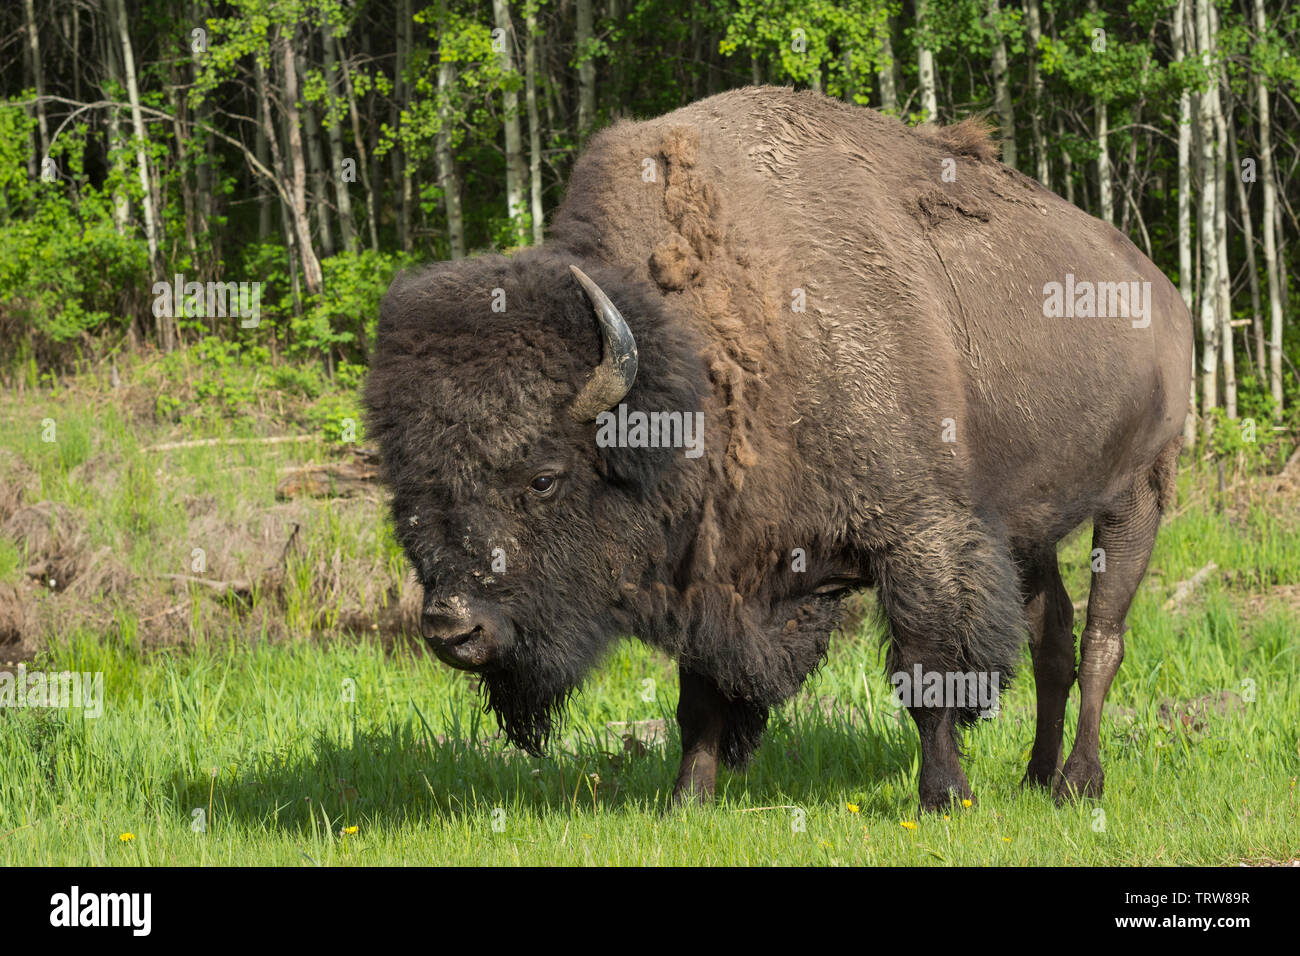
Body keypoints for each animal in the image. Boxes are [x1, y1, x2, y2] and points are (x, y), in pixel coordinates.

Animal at [364, 87, 1191, 810]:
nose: (453, 627)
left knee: (1102, 640)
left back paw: (1079, 782)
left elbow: (926, 669)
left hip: (1137, 496)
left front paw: (945, 796)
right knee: (1053, 640)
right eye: (409, 490)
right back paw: (1035, 777)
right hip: (1033, 528)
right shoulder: (714, 565)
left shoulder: (916, 534)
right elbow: (701, 698)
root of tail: (1159, 287)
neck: (708, 364)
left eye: (542, 477)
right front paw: (687, 802)